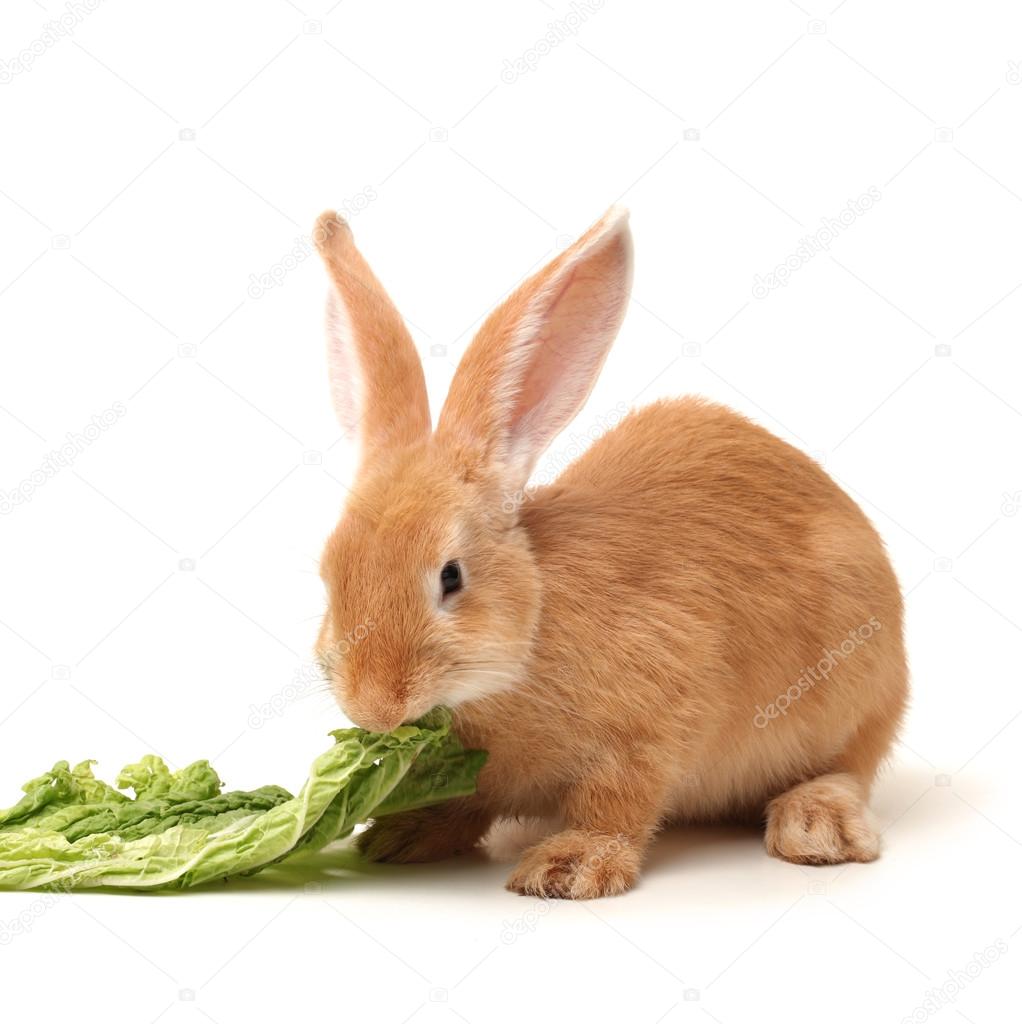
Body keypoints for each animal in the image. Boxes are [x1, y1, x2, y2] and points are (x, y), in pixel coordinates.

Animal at [312, 205, 908, 899]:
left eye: (451, 577)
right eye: (328, 576)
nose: (375, 708)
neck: (533, 632)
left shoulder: (650, 725)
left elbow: (617, 802)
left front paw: (568, 868)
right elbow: (465, 803)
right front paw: (402, 834)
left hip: (861, 692)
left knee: (850, 768)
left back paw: (815, 827)